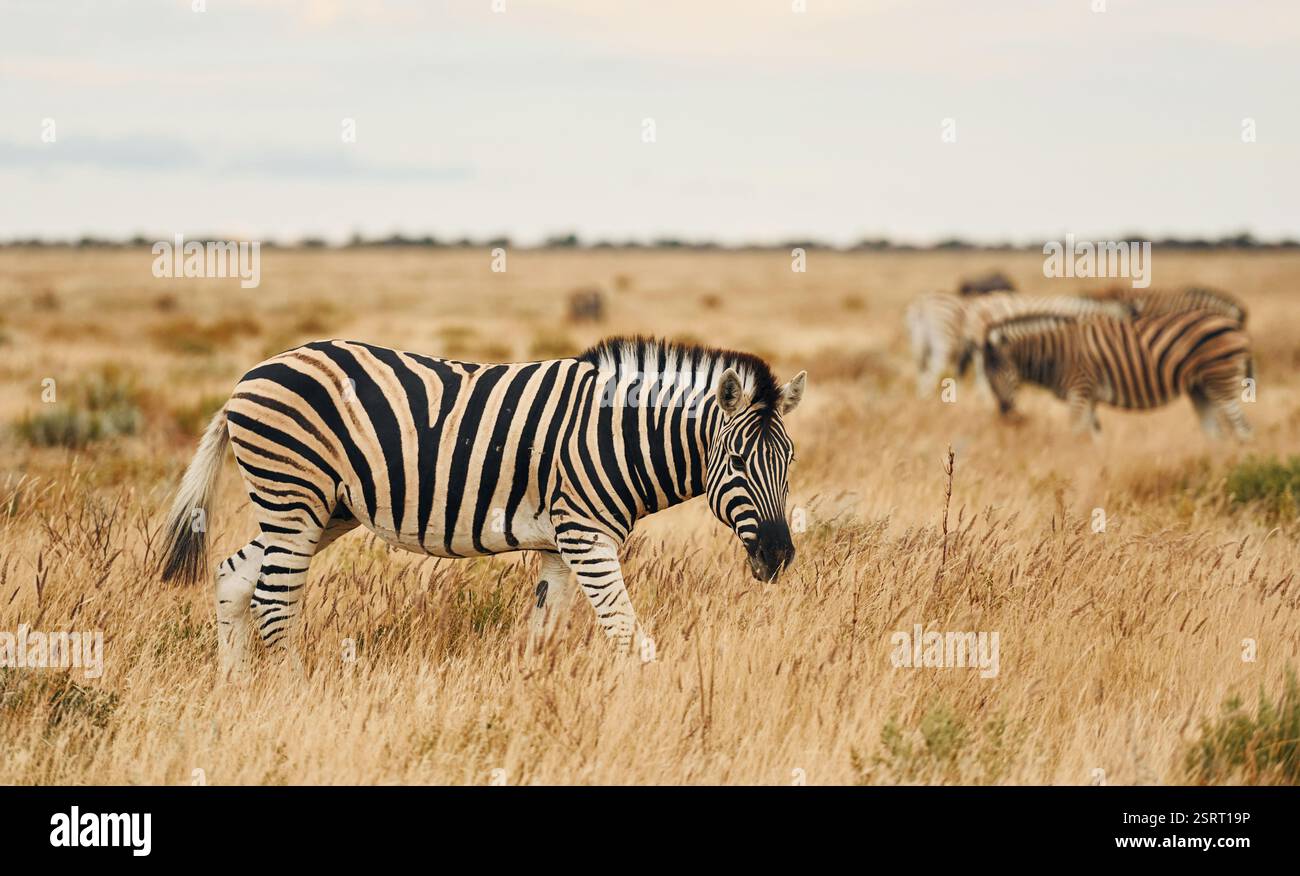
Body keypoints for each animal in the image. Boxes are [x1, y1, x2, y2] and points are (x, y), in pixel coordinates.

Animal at [159, 337, 807, 676]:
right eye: (739, 460)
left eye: (790, 458)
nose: (779, 555)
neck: (614, 435)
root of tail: (250, 375)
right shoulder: (585, 534)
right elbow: (625, 630)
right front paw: (642, 700)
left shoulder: (559, 543)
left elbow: (544, 629)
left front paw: (533, 697)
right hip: (294, 498)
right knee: (273, 598)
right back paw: (294, 693)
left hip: (321, 510)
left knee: (234, 575)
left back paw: (239, 690)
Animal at [980, 310, 1253, 440]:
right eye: (986, 376)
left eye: (1005, 370)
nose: (1004, 410)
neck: (1057, 352)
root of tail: (1233, 323)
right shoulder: (1089, 398)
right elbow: (1094, 437)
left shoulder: (1079, 389)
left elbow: (1075, 434)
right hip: (1200, 389)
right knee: (1216, 435)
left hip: (1221, 379)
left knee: (1242, 430)